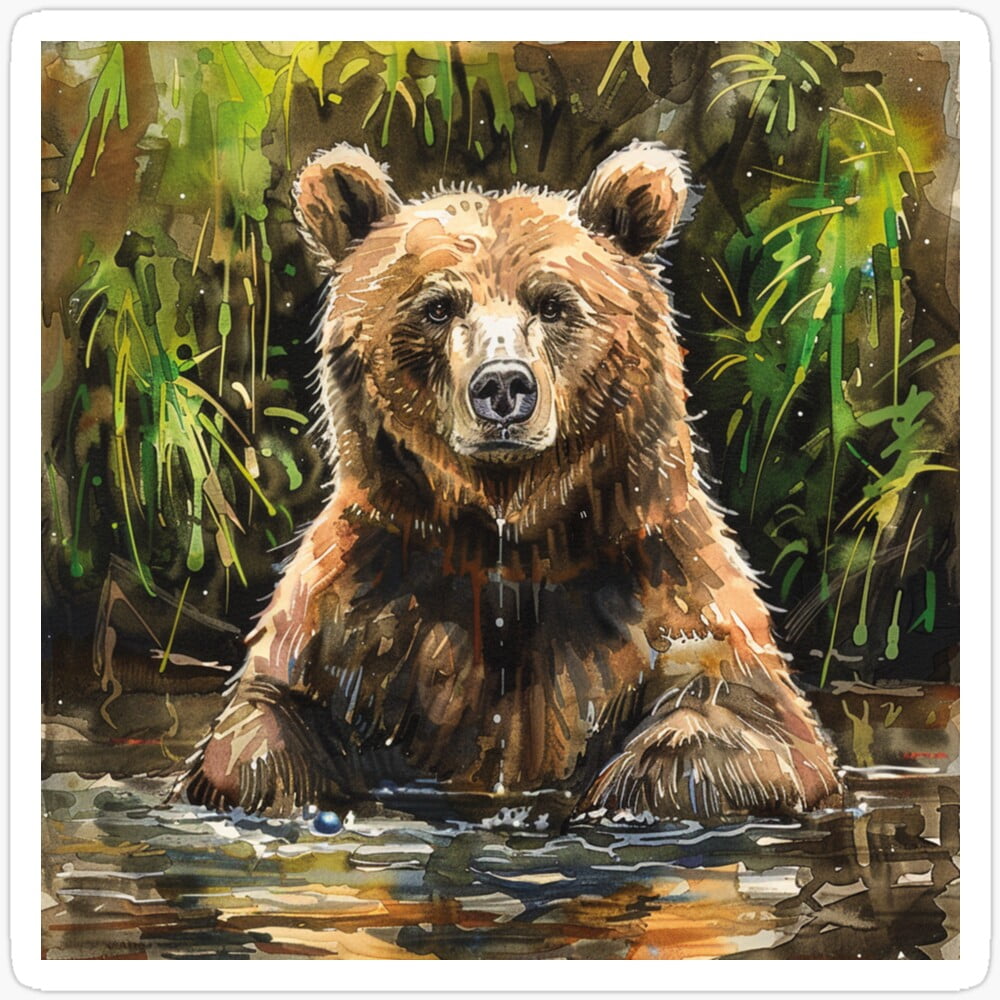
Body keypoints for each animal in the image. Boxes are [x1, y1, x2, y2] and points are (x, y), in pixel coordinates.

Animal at [180, 141, 840, 823]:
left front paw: (620, 787)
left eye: (552, 303)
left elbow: (750, 727)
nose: (502, 385)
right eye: (438, 306)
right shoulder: (362, 613)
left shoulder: (659, 588)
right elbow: (262, 723)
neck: (509, 539)